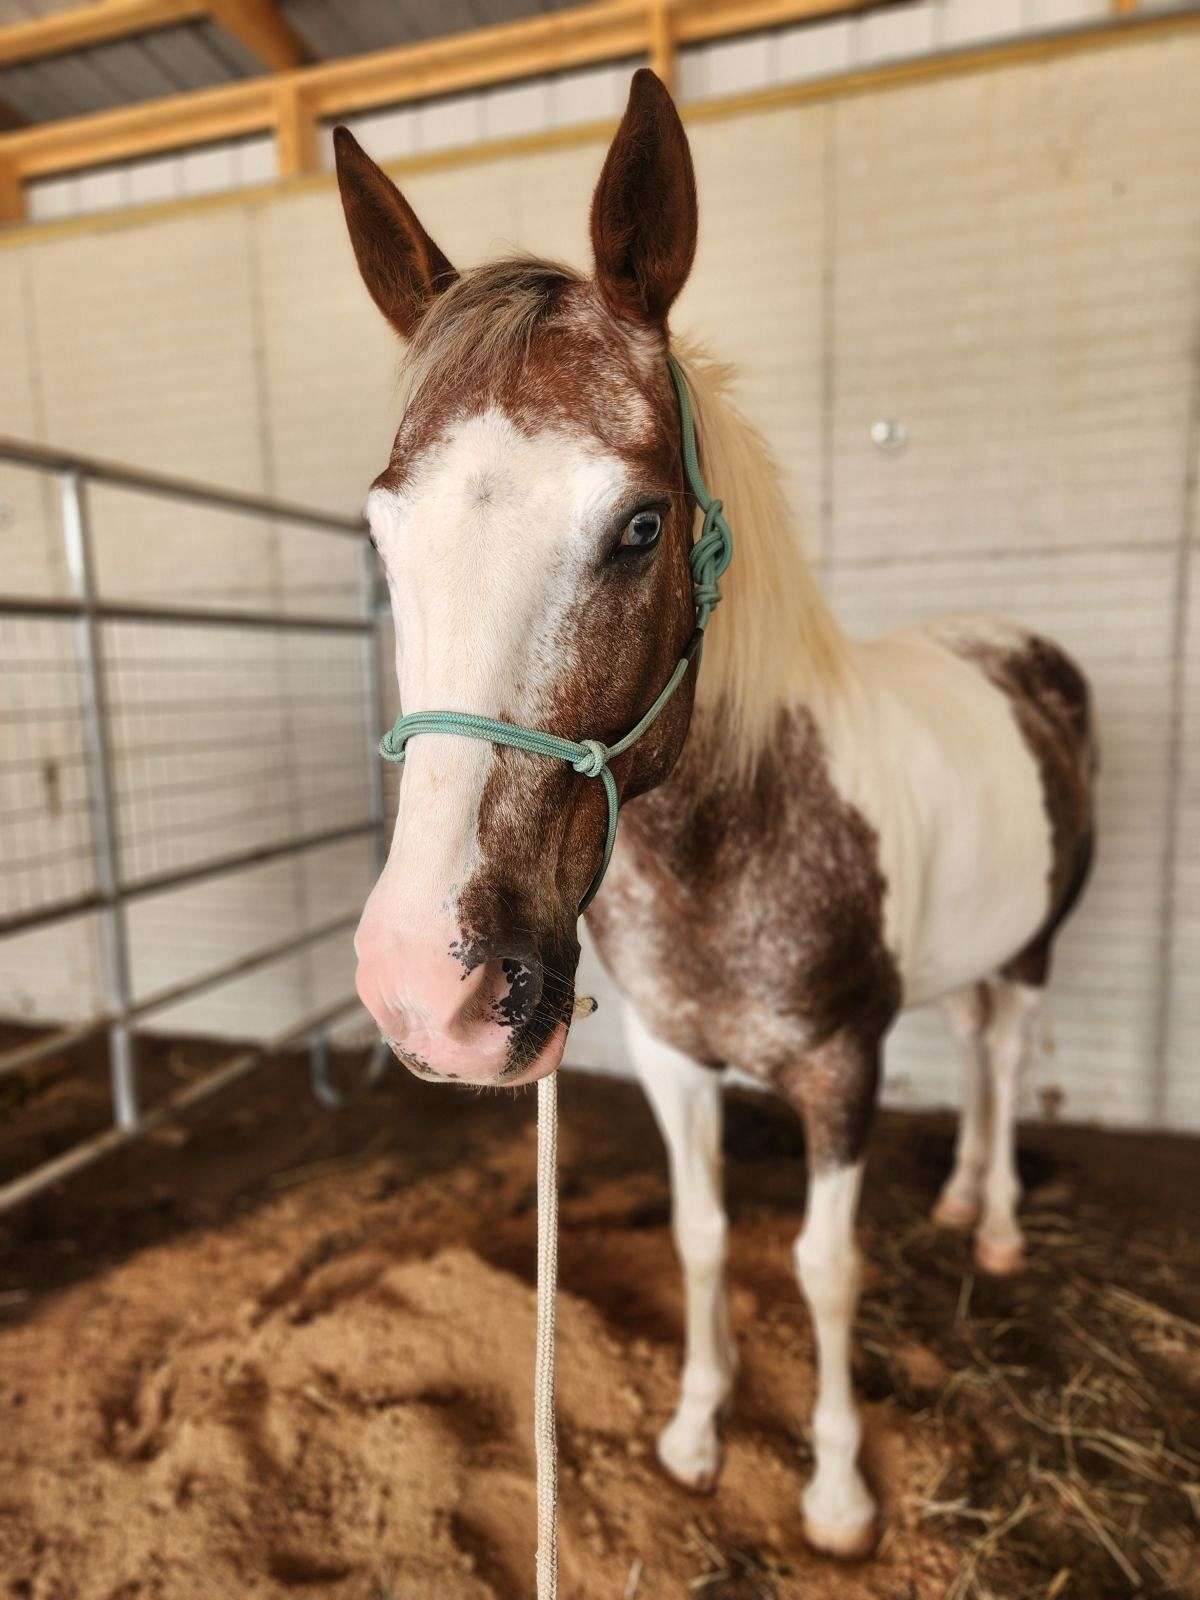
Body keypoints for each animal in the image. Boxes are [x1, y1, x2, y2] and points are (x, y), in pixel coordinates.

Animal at [338, 69, 1097, 1560]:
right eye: (381, 536)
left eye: (640, 525)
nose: (422, 987)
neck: (733, 844)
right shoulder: (674, 1060)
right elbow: (698, 1236)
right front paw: (696, 1431)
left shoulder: (843, 1071)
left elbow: (823, 1263)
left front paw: (840, 1492)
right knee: (980, 1044)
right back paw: (967, 1199)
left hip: (1040, 949)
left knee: (1007, 1047)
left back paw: (992, 1226)